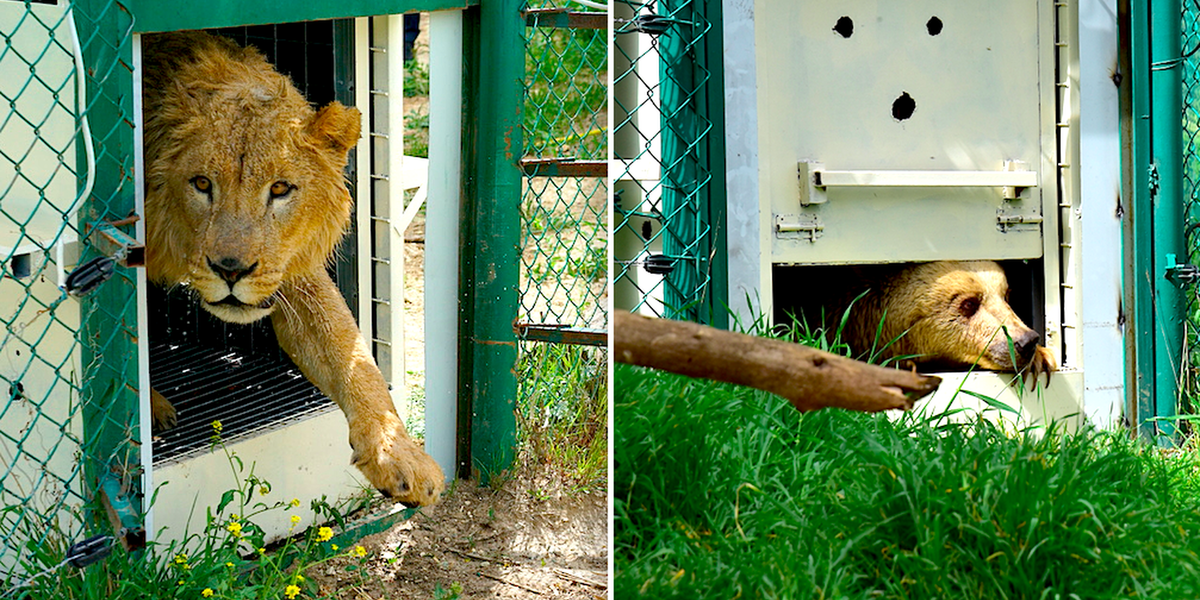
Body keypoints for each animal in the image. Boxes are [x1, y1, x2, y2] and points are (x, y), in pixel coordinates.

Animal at [141, 31, 444, 506]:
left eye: (281, 189)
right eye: (202, 183)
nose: (231, 270)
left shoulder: (292, 268)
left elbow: (351, 352)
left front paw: (400, 455)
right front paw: (147, 406)